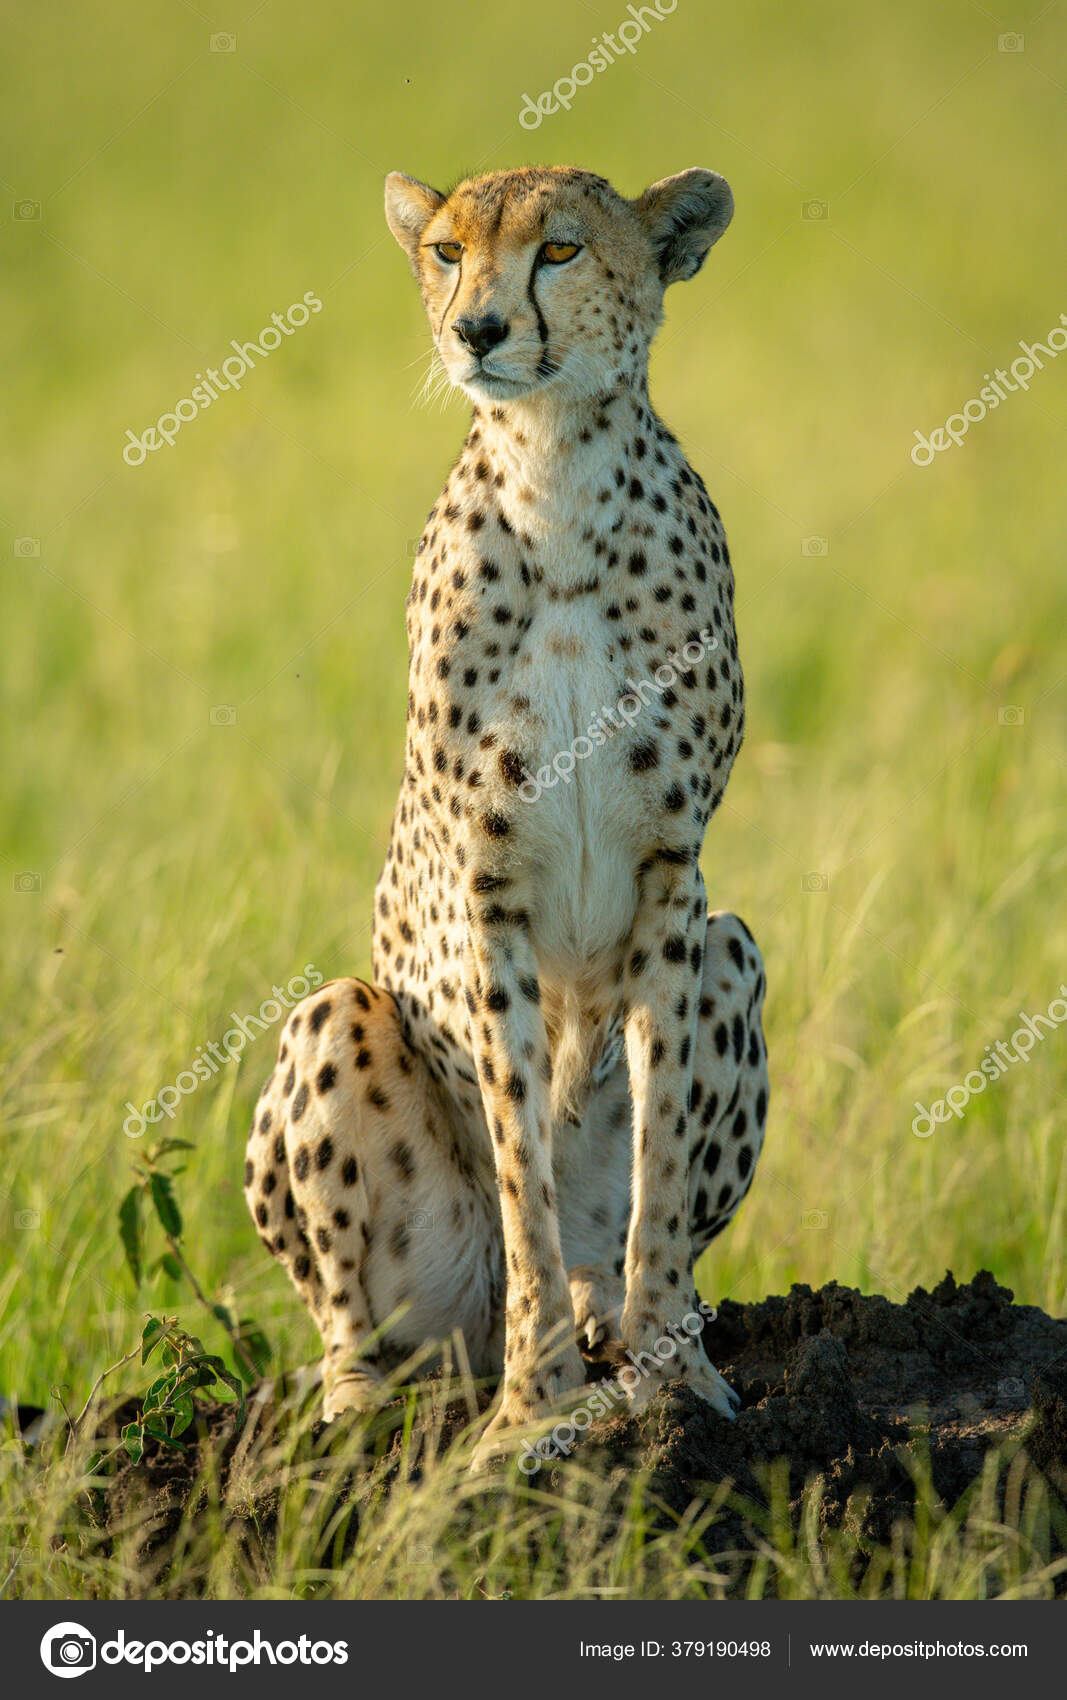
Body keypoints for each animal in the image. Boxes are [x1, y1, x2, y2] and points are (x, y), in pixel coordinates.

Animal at [244, 163, 769, 1465]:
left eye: (561, 250)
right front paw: (533, 1413)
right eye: (444, 251)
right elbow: (518, 1146)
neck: (556, 473)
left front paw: (673, 1381)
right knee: (362, 1325)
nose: (475, 328)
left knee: (597, 1245)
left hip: (733, 944)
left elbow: (662, 1156)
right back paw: (360, 1415)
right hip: (337, 1031)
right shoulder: (486, 889)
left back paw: (608, 1327)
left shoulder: (672, 874)